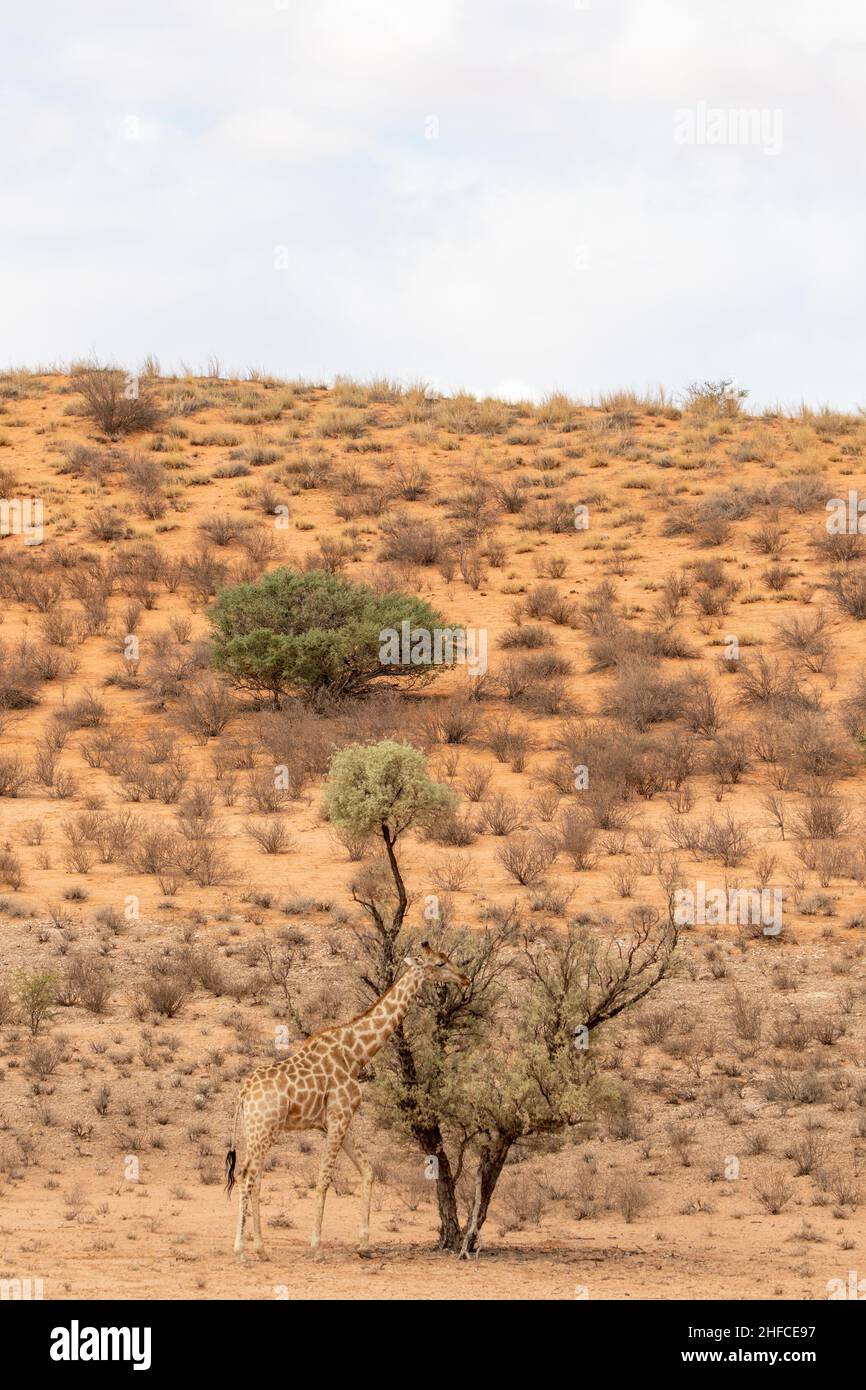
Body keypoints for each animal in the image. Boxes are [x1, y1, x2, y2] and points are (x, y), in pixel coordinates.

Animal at [225, 940, 470, 1260]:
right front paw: (316, 1246)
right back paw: (241, 1250)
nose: (465, 979)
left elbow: (367, 1172)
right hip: (262, 1131)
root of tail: (243, 1092)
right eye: (440, 963)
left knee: (253, 1179)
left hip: (253, 1131)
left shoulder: (339, 1121)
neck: (356, 1054)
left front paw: (363, 1245)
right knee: (247, 1177)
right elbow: (324, 1179)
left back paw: (262, 1249)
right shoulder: (338, 1118)